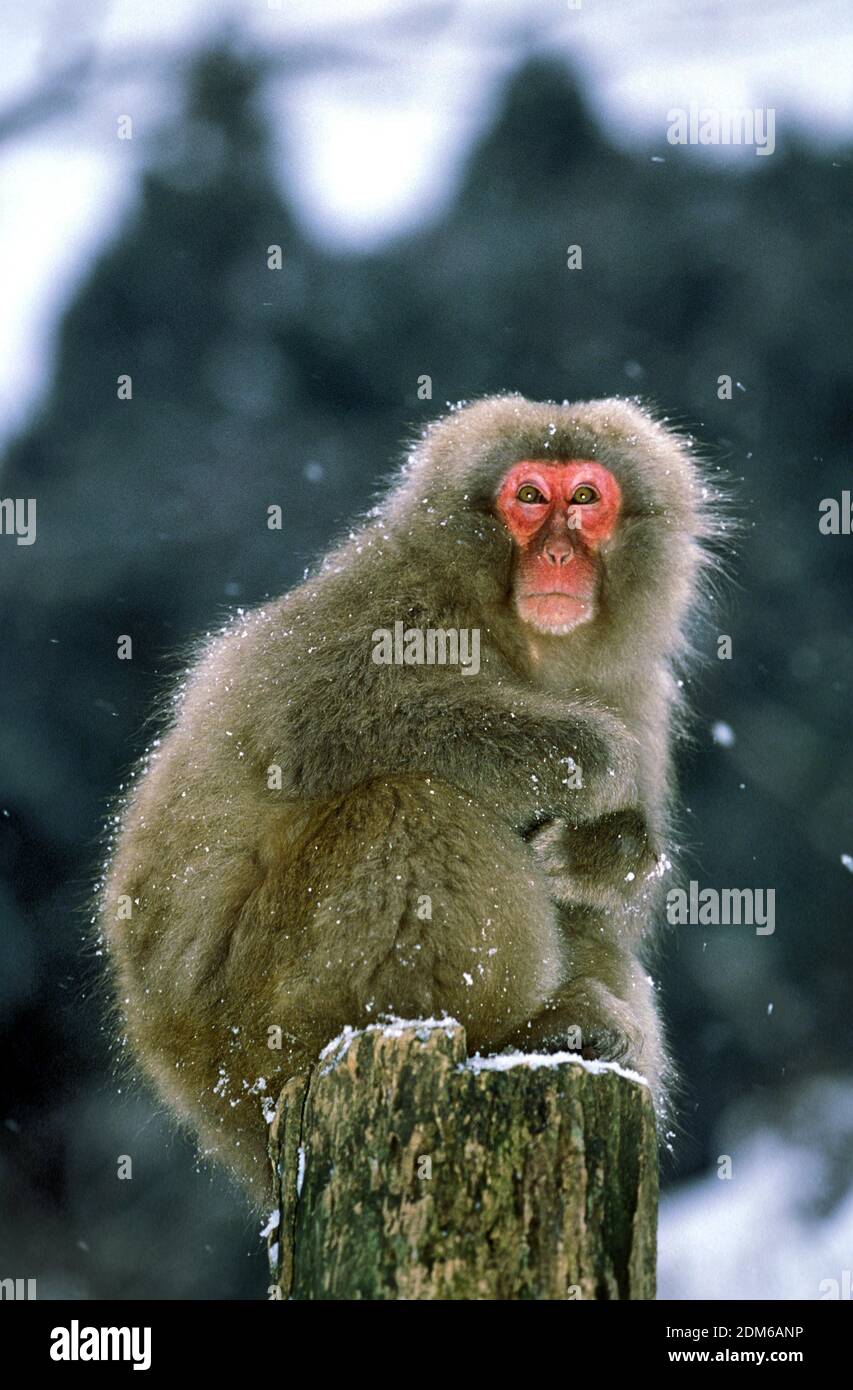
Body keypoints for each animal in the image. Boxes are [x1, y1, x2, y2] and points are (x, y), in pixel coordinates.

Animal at [102, 394, 715, 1200]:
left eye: (585, 497)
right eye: (529, 497)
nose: (557, 555)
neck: (521, 639)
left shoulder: (639, 688)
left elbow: (611, 902)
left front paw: (602, 850)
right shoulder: (389, 600)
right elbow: (319, 723)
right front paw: (591, 758)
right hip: (254, 1024)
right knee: (412, 805)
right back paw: (517, 1031)